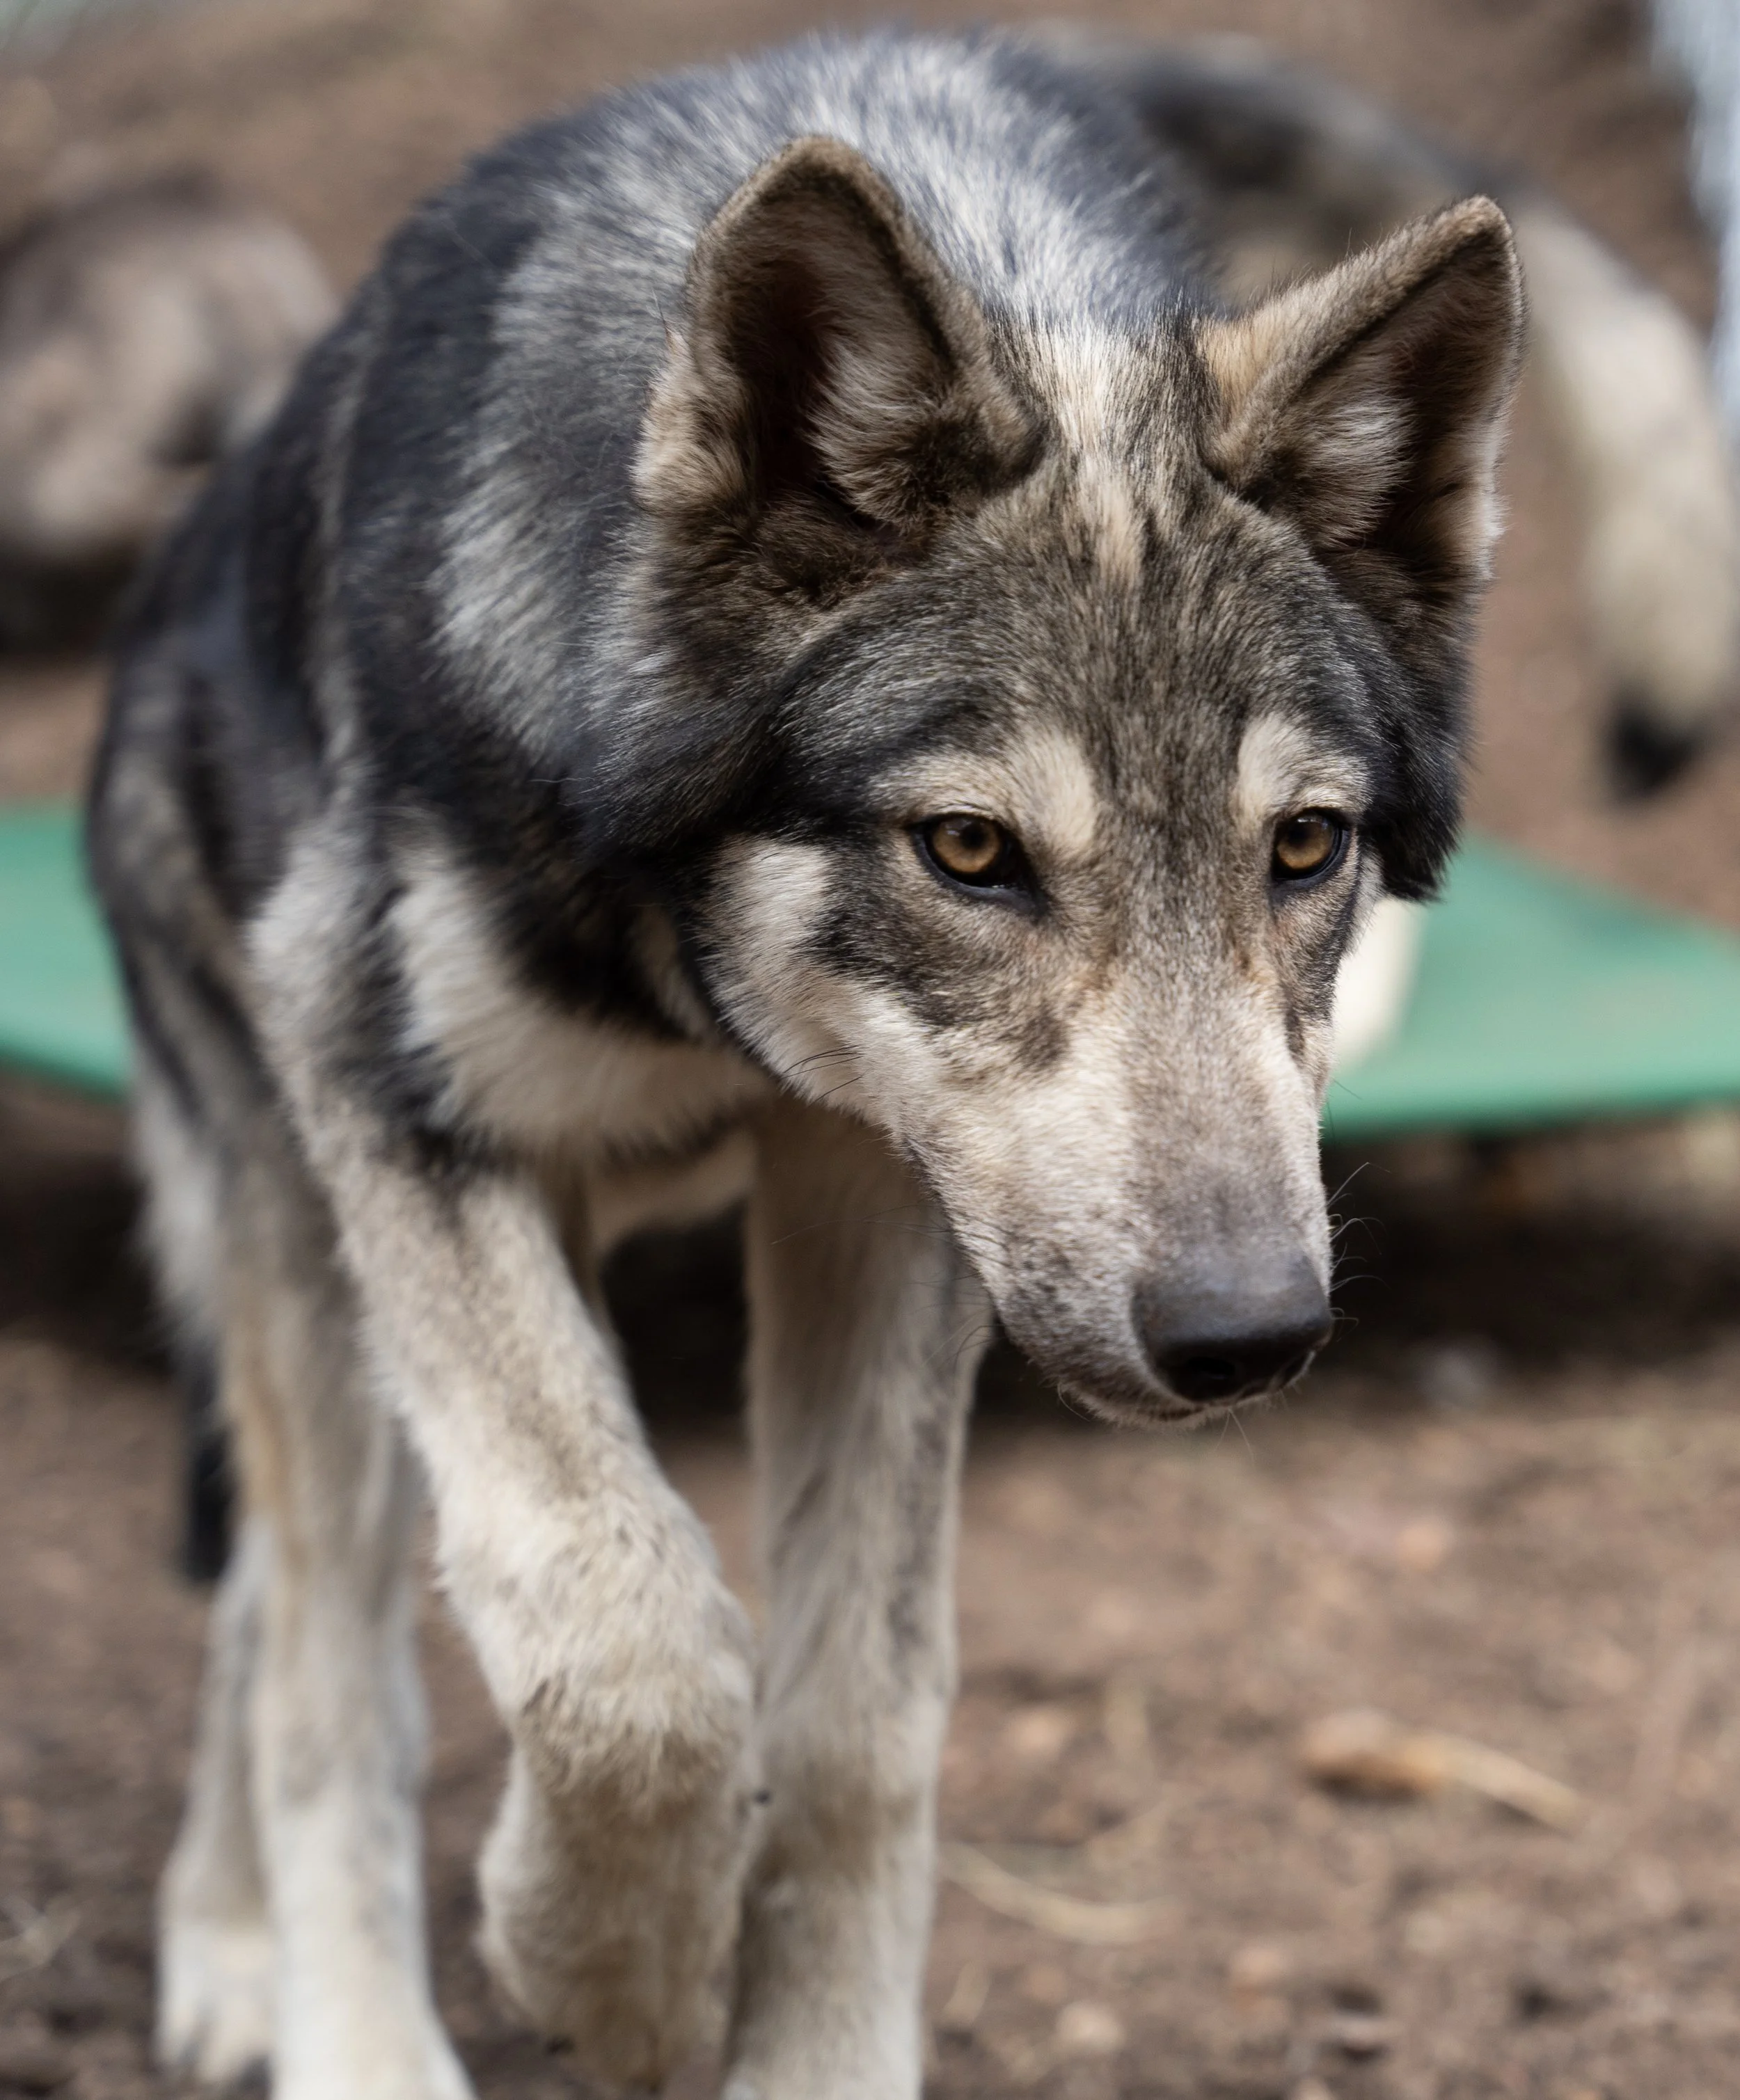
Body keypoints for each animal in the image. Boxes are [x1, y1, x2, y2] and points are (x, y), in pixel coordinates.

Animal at [88, 26, 1532, 2097]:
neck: (687, 992)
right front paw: (605, 1967)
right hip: (297, 1217)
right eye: (969, 852)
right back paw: (280, 1984)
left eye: (1304, 847)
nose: (1248, 1333)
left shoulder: (875, 1187)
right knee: (303, 1638)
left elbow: (854, 1709)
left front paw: (785, 2032)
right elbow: (625, 1640)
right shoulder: (397, 1115)